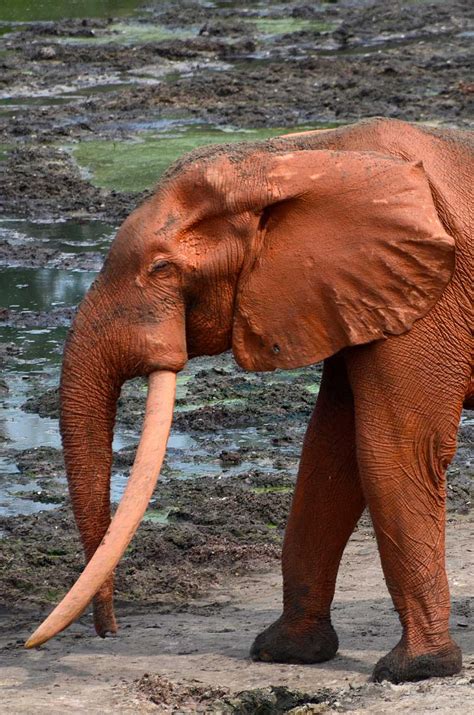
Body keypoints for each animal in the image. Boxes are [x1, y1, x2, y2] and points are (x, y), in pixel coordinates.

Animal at [26, 117, 473, 684]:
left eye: (162, 269)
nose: (109, 630)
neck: (294, 158)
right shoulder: (350, 296)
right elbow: (330, 457)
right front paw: (283, 653)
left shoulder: (428, 294)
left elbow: (394, 451)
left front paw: (414, 670)